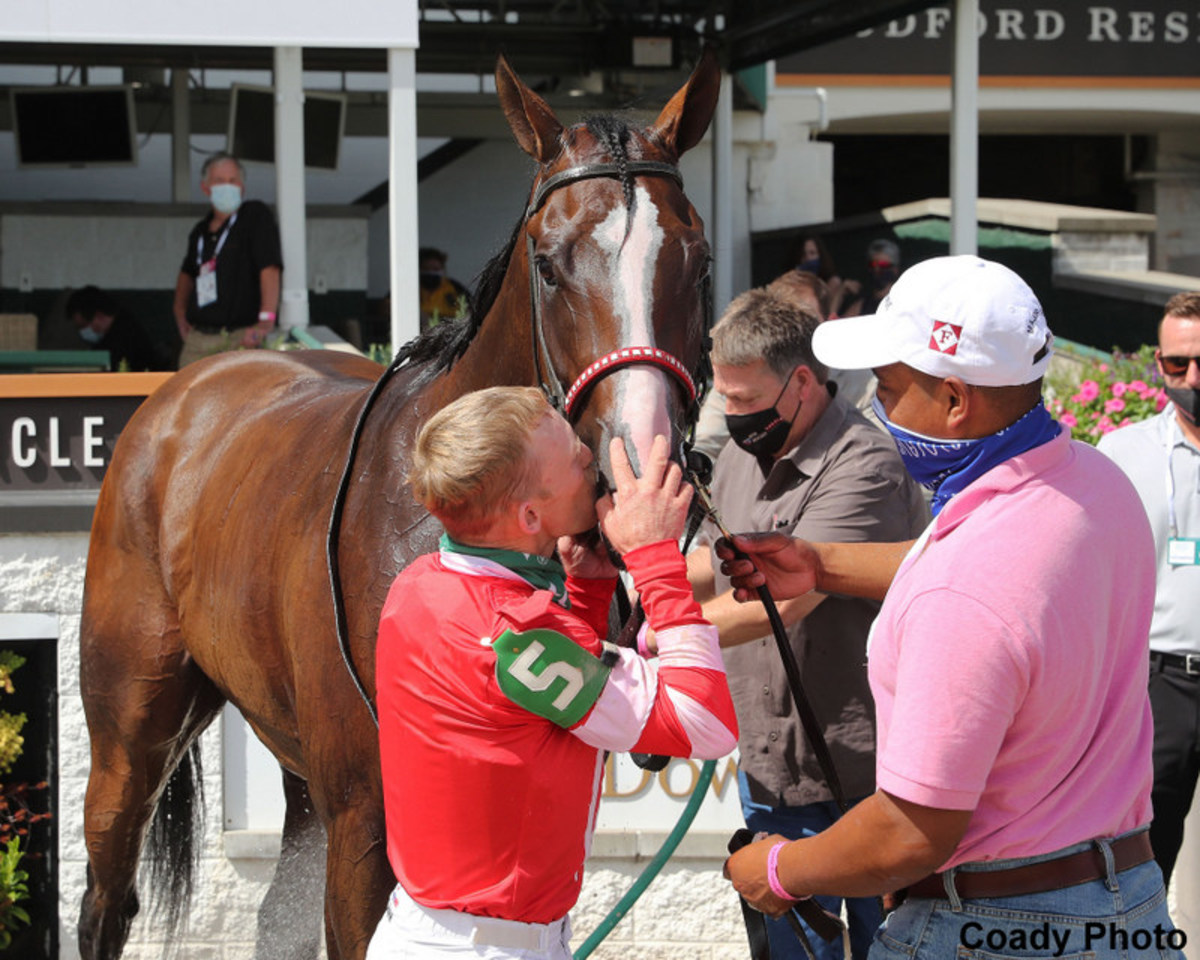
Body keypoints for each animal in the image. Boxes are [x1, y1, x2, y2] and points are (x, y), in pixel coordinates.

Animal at [77, 49, 721, 960]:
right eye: (549, 263)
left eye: (698, 264)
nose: (641, 459)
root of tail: (186, 389)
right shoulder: (366, 821)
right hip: (131, 731)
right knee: (108, 895)